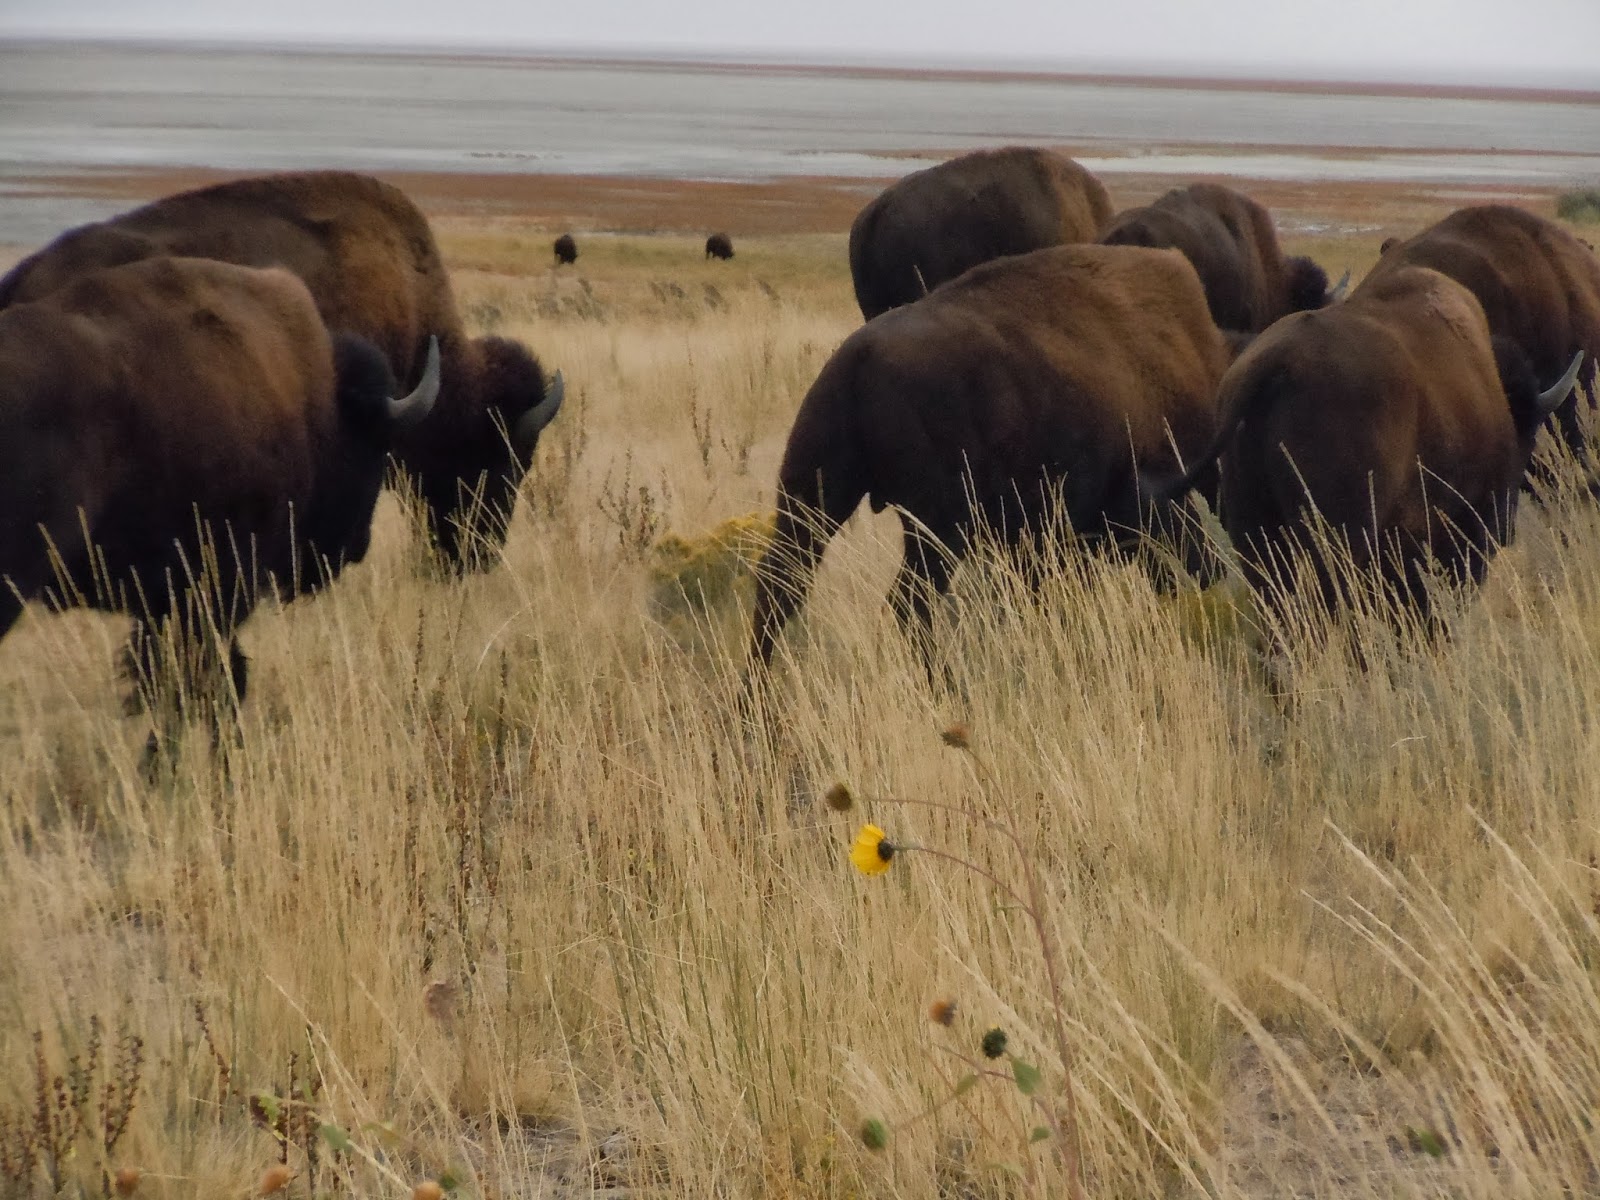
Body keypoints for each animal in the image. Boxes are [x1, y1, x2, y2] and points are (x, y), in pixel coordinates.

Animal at [0, 255, 439, 742]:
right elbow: (209, 682)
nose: (356, 546)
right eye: (375, 447)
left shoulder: (167, 603)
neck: (314, 398)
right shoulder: (218, 591)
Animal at [749, 244, 1234, 670]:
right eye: (1173, 510)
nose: (1207, 569)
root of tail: (859, 359)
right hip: (935, 530)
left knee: (781, 586)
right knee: (909, 604)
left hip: (813, 494)